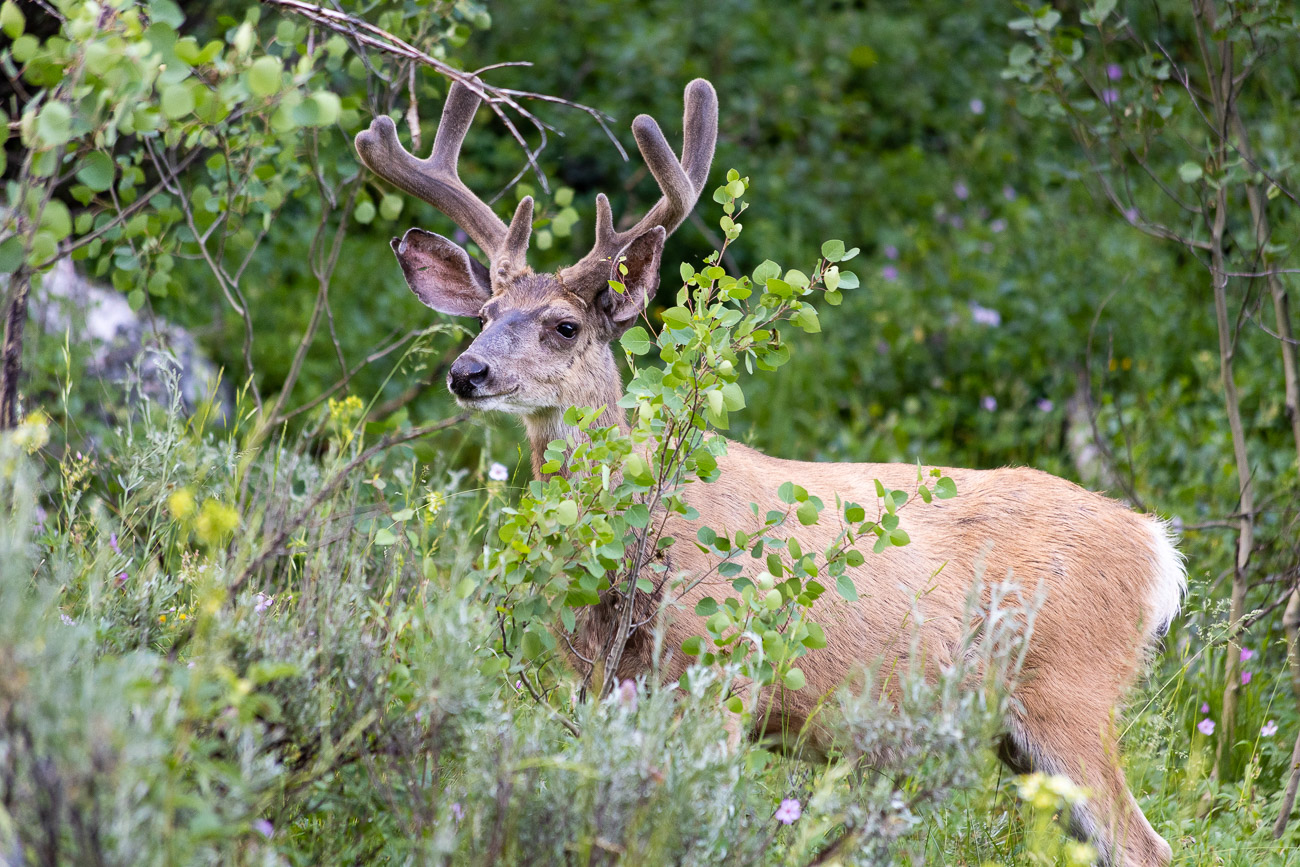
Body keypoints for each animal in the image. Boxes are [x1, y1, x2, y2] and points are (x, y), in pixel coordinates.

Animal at [354, 77, 1185, 867]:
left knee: (1147, 843)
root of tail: (1157, 547)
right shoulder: (603, 684)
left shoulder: (722, 669)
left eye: (564, 325)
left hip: (1070, 691)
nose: (467, 372)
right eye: (484, 314)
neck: (636, 548)